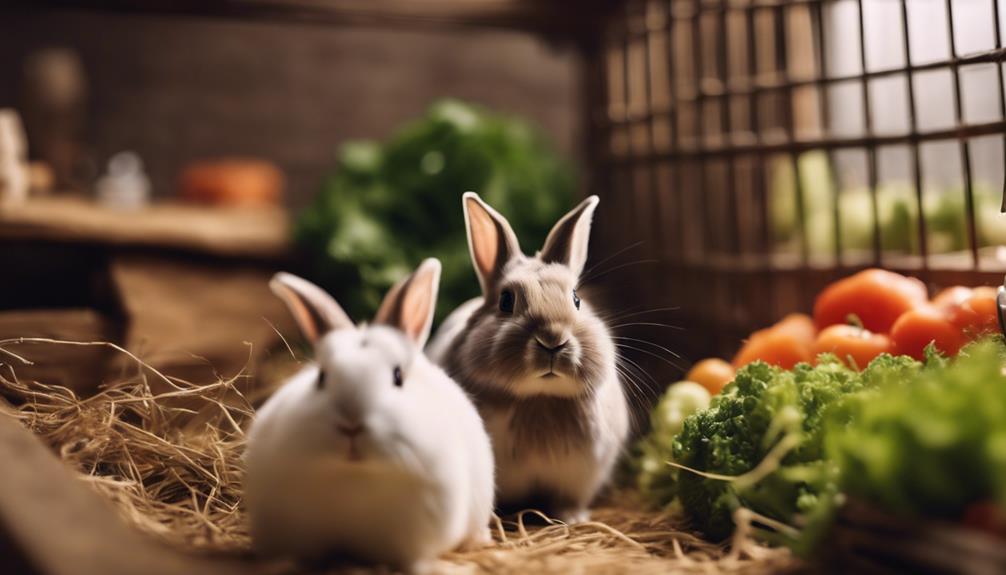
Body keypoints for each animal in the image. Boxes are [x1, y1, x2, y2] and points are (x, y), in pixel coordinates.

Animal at [245, 259, 495, 573]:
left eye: (398, 376)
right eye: (321, 377)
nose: (351, 425)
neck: (355, 476)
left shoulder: (416, 535)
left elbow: (414, 562)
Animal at [427, 192, 629, 524]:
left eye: (576, 299)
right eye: (506, 301)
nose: (553, 340)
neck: (539, 397)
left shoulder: (580, 477)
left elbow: (568, 500)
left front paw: (572, 519)